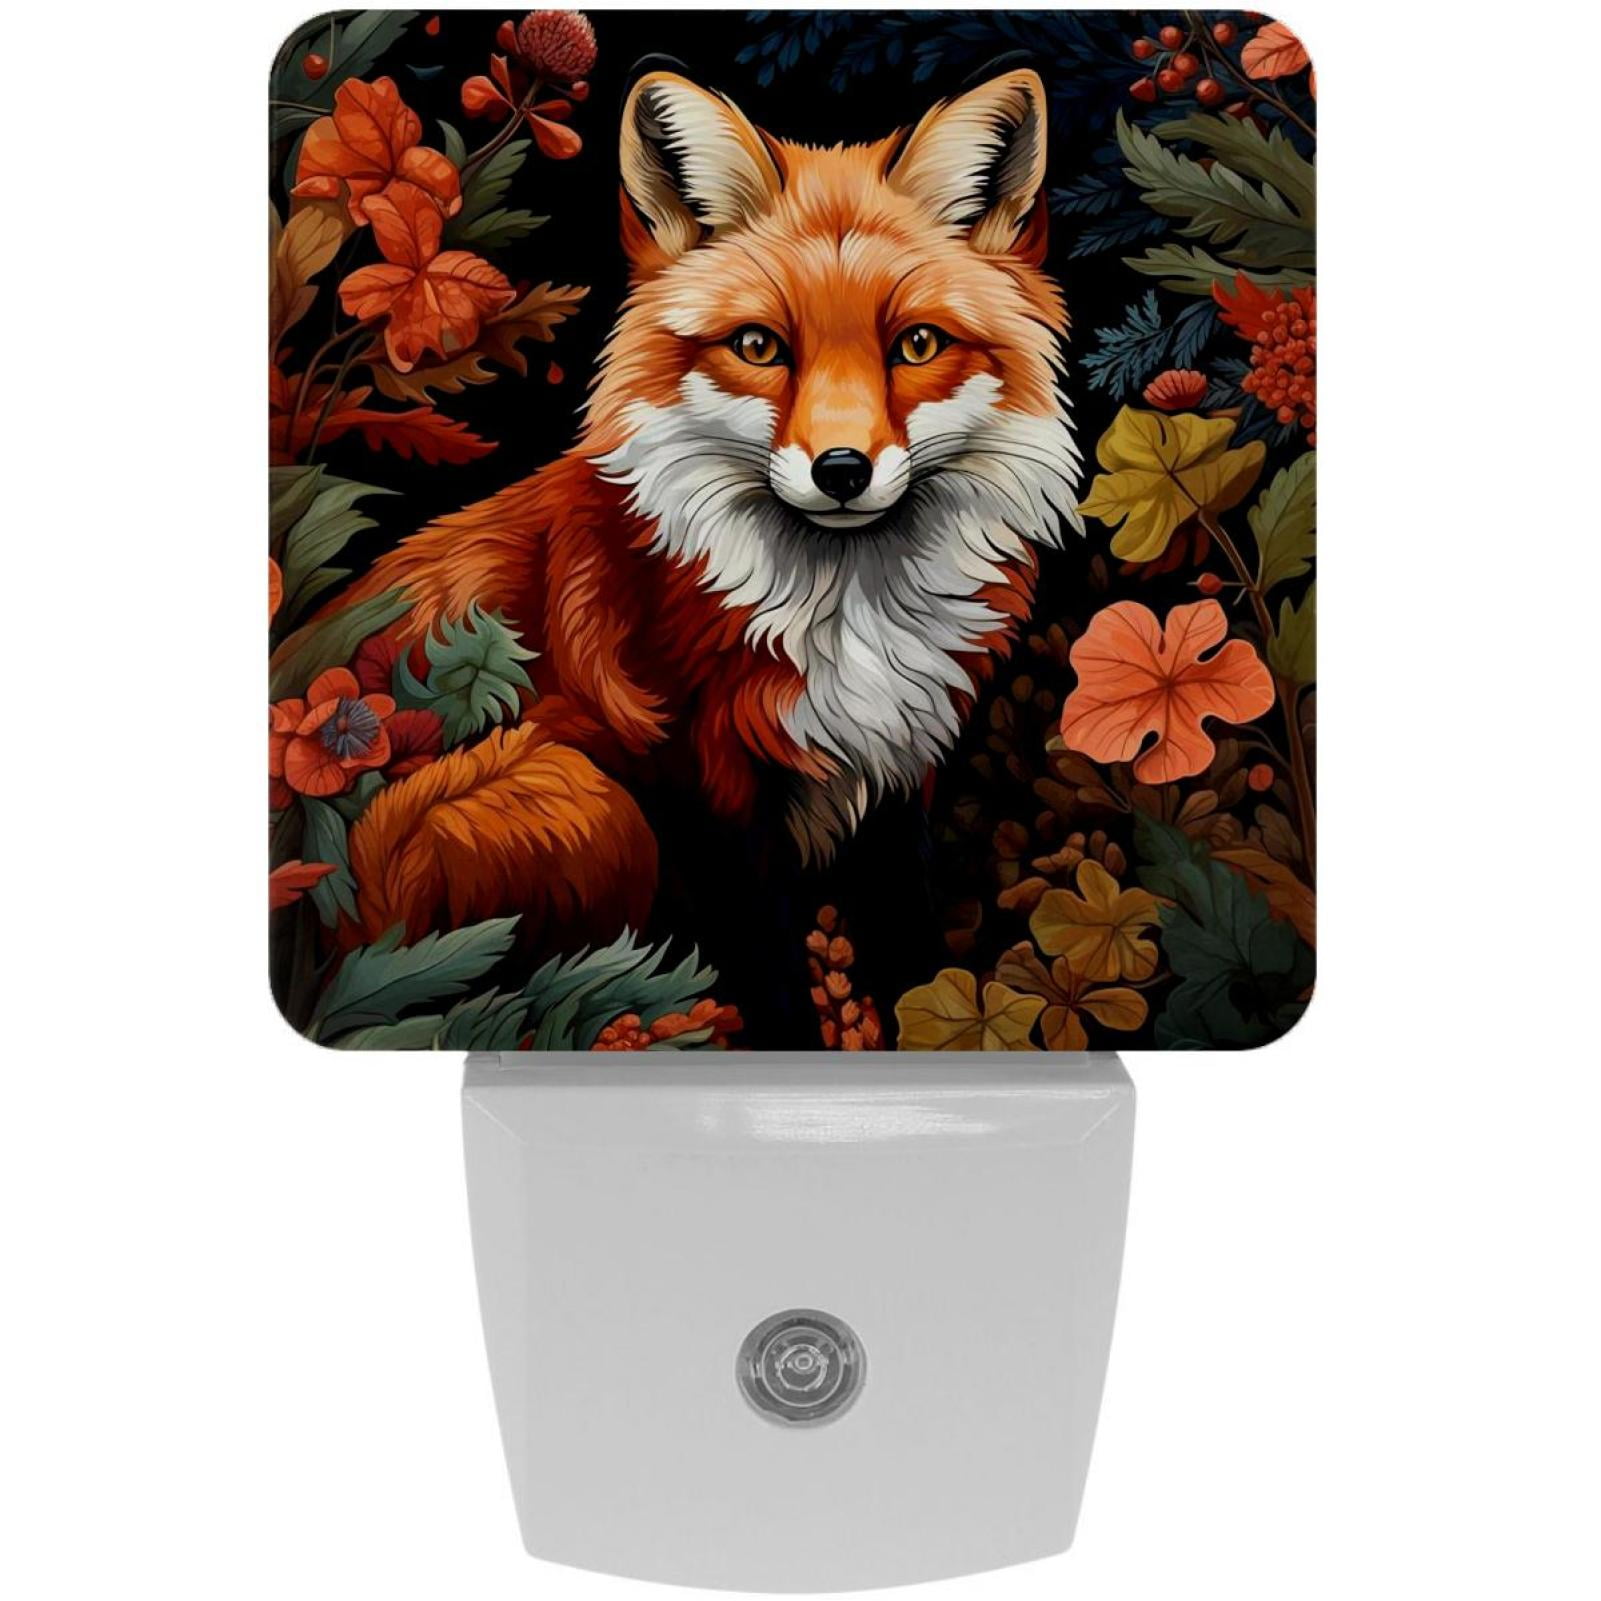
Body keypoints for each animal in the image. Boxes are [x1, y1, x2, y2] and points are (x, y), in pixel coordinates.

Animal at [334, 65, 1083, 1040]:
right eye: (759, 346)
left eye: (915, 344)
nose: (841, 470)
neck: (842, 622)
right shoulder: (700, 791)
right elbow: (765, 971)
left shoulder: (898, 766)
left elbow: (907, 937)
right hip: (584, 795)